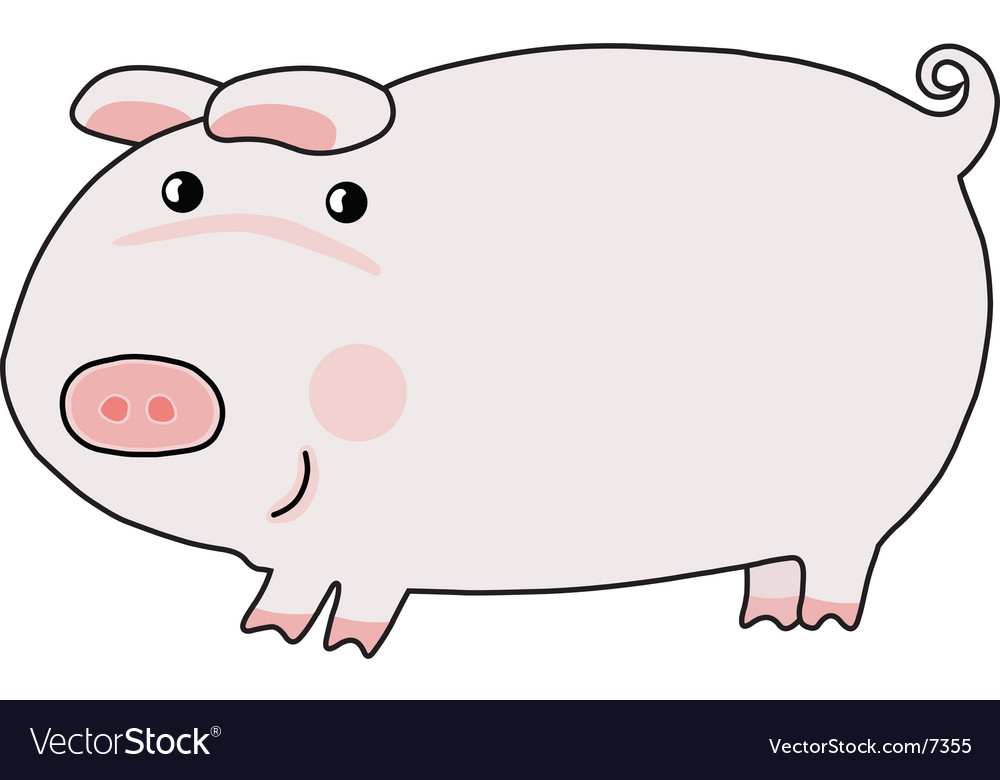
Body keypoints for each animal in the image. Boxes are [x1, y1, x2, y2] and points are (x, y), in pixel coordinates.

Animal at [2, 44, 996, 656]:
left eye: (344, 204)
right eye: (179, 189)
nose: (138, 388)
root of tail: (931, 129)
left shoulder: (392, 528)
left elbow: (367, 589)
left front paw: (346, 649)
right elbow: (295, 577)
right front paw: (268, 636)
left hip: (865, 489)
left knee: (840, 556)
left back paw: (810, 628)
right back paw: (762, 621)